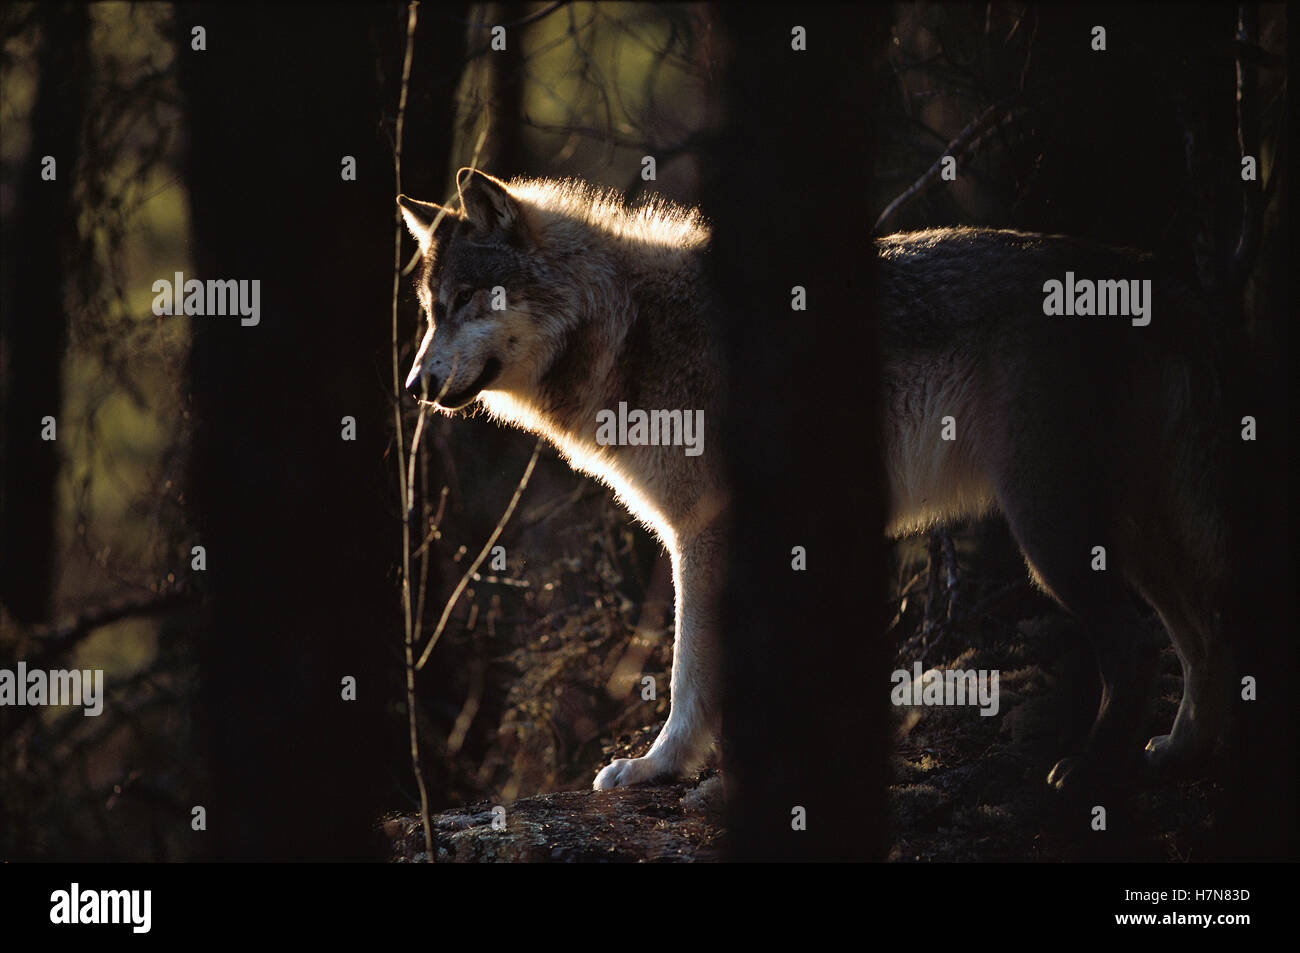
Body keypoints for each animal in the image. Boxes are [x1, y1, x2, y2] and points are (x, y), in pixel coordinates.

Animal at [398, 170, 1231, 794]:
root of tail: (1153, 275)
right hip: (1127, 531)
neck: (629, 325)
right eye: (429, 310)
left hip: (1050, 534)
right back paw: (1178, 752)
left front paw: (661, 767)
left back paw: (1091, 773)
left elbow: (689, 674)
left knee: (1140, 645)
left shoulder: (704, 533)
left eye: (464, 301)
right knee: (1197, 636)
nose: (413, 384)